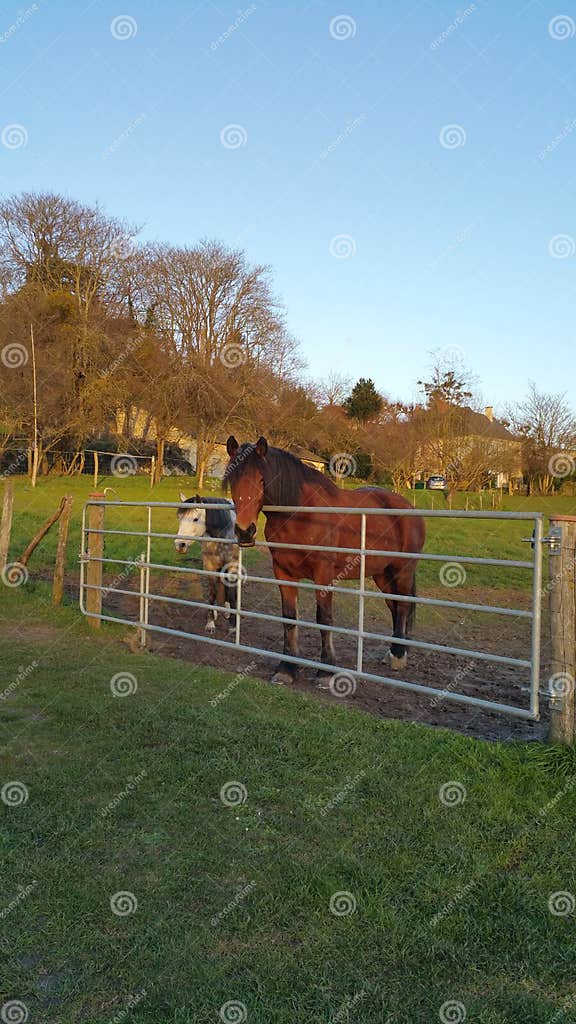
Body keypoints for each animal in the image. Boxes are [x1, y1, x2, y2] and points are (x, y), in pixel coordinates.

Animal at [174, 494, 239, 635]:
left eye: (195, 518)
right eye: (179, 518)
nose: (180, 545)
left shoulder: (231, 566)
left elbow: (231, 593)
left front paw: (233, 625)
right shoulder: (209, 566)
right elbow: (212, 592)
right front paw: (210, 622)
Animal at [224, 436, 426, 685]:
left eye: (262, 479)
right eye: (232, 479)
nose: (245, 531)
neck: (301, 513)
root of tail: (409, 508)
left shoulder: (323, 573)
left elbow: (324, 617)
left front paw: (326, 670)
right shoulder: (283, 572)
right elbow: (289, 617)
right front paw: (287, 668)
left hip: (402, 571)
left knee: (403, 605)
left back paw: (398, 656)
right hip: (382, 574)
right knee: (394, 606)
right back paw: (393, 652)